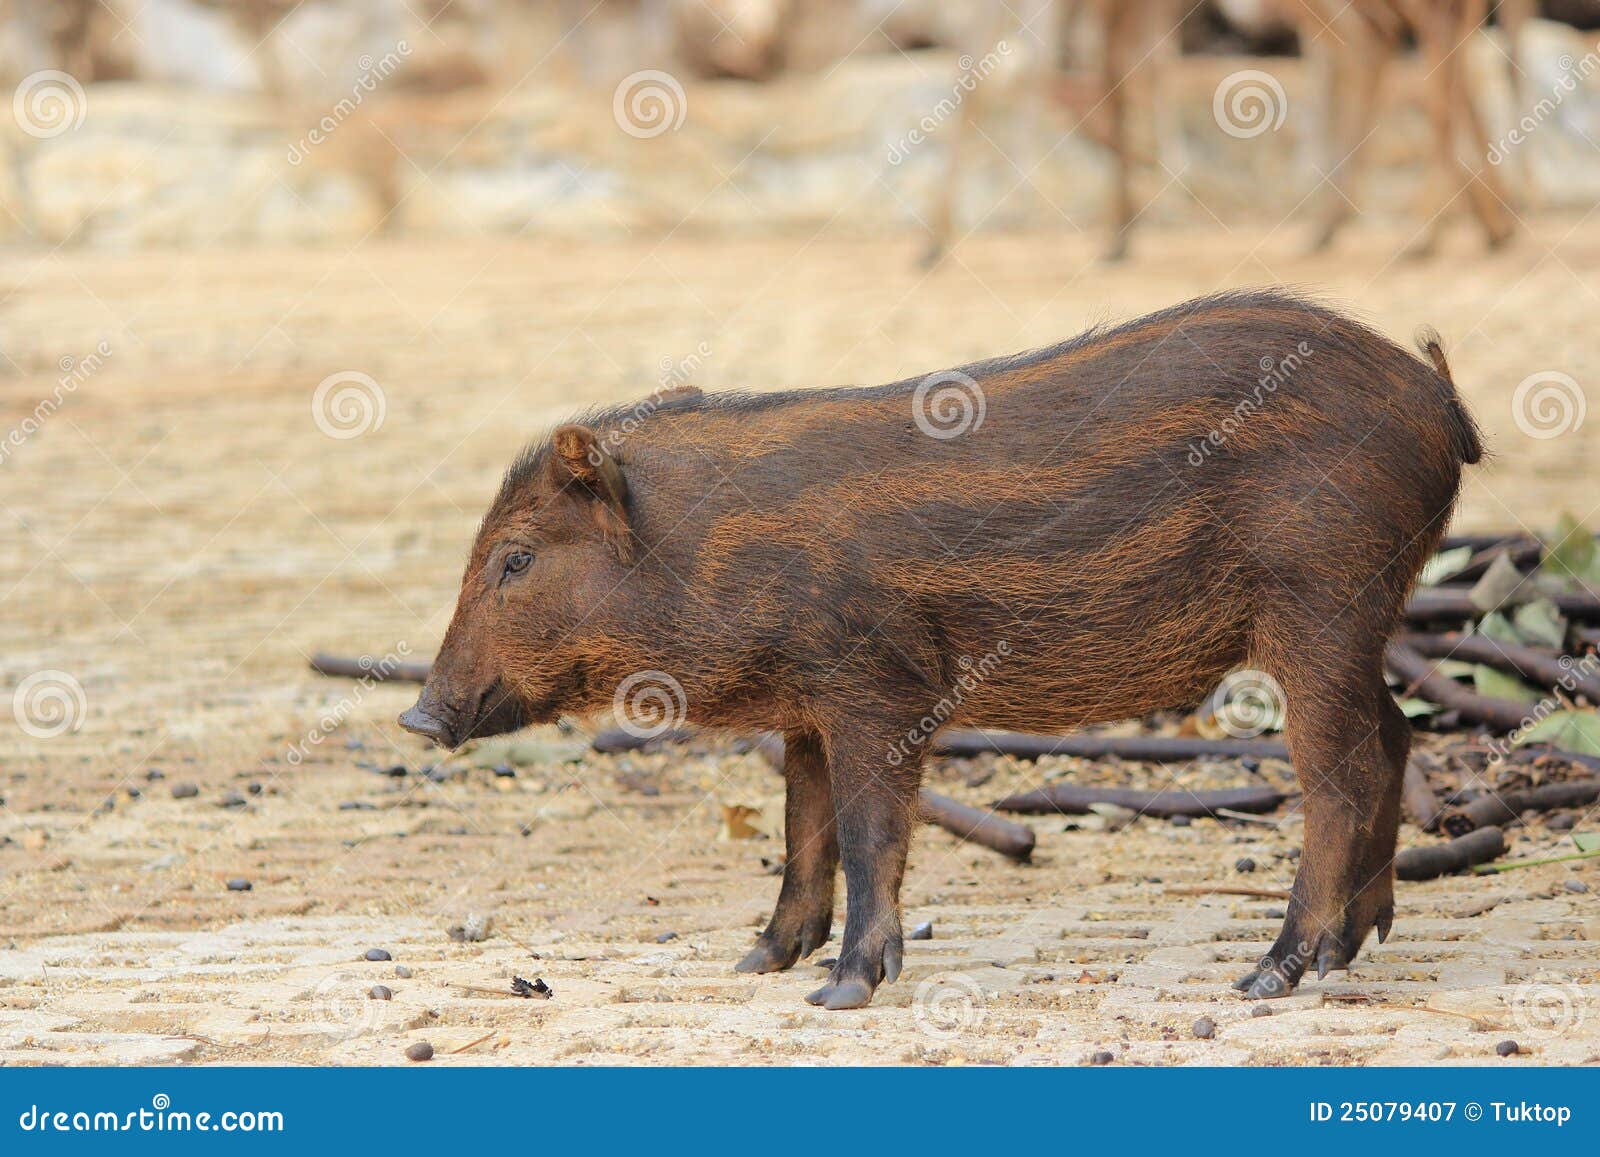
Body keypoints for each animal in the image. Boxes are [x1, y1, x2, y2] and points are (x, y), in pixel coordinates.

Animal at [400, 289, 1483, 1009]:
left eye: (515, 557)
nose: (417, 712)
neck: (708, 547)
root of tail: (1436, 397)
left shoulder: (876, 685)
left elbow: (867, 830)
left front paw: (840, 992)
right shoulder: (807, 706)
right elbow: (801, 829)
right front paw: (759, 961)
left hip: (1322, 606)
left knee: (1340, 774)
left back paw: (1268, 974)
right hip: (1361, 620)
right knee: (1393, 737)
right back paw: (1354, 944)